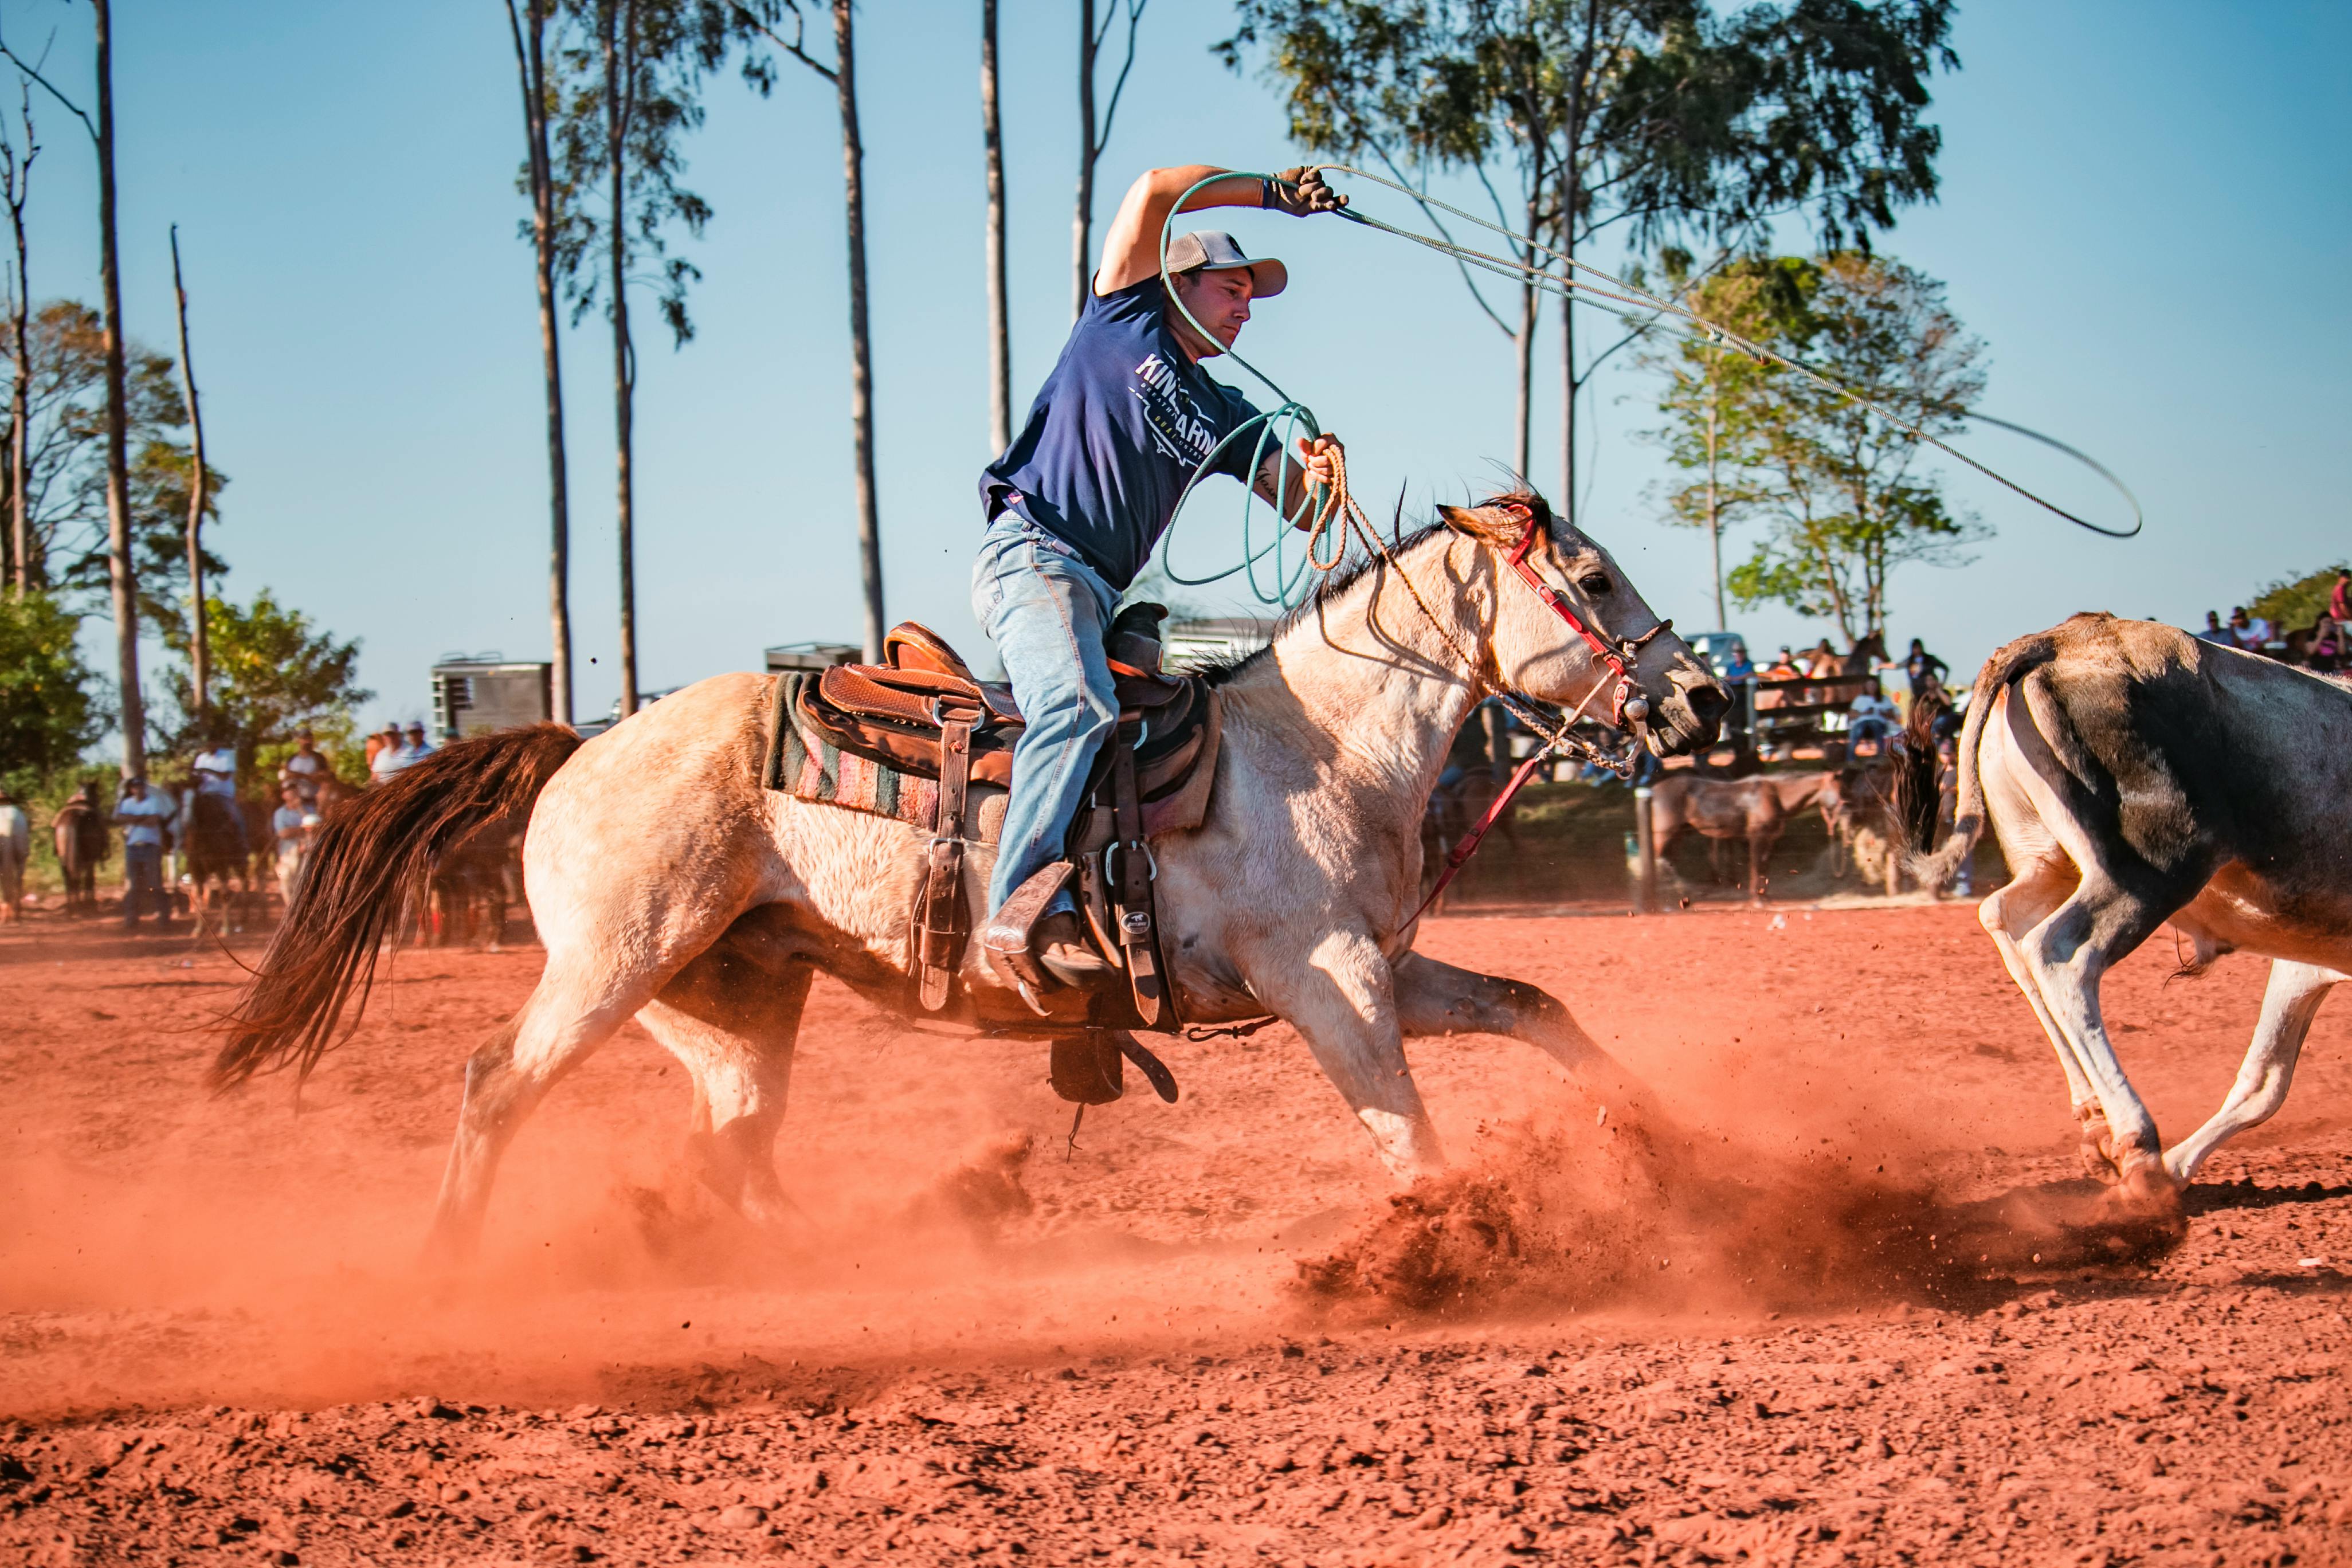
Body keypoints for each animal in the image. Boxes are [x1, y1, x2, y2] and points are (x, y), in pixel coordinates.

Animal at [213, 490, 1727, 1260]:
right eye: (1594, 577)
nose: (1704, 698)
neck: (1310, 747)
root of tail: (578, 745)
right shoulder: (1333, 984)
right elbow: (1414, 1141)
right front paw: (1457, 1254)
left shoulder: (1385, 969)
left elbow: (1536, 1008)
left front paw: (1682, 1154)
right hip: (613, 964)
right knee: (496, 1084)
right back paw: (447, 1267)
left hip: (737, 1003)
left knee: (734, 1154)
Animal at [1648, 771, 1844, 903]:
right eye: (1837, 791)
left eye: (1843, 790)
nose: (1845, 809)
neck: (1774, 796)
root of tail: (1654, 791)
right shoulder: (1756, 837)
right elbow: (1756, 867)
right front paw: (1756, 900)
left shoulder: (1770, 840)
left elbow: (1764, 866)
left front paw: (1765, 897)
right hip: (1663, 835)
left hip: (1678, 836)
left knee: (1669, 862)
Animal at [1901, 614, 2352, 1202]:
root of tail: (2061, 640)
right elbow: (2265, 1084)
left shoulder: (2308, 960)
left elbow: (2264, 1083)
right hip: (2155, 867)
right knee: (2062, 954)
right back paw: (2140, 1146)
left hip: (2053, 862)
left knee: (2004, 919)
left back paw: (2096, 1121)